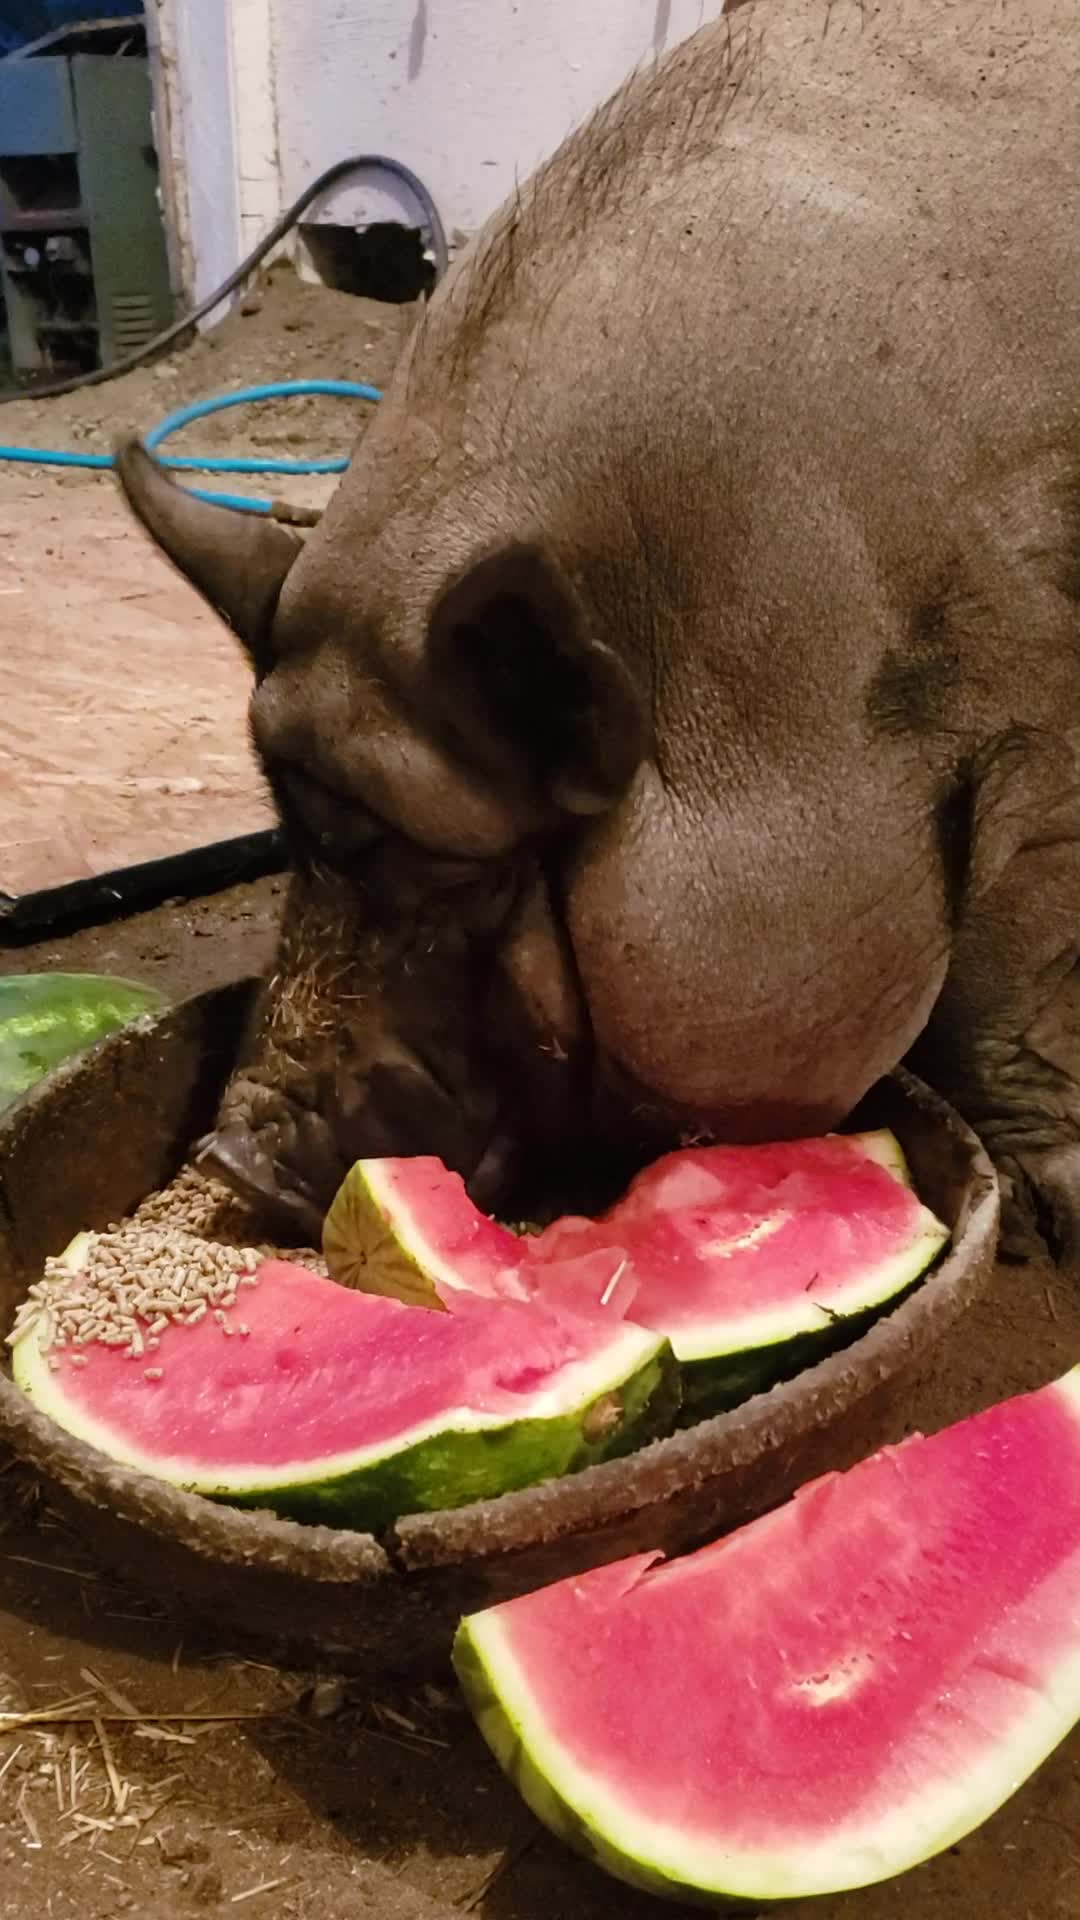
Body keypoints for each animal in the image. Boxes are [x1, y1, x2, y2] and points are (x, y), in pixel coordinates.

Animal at [117, 0, 1080, 1262]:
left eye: (456, 879)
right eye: (289, 835)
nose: (230, 1157)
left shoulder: (1045, 759)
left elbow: (1006, 986)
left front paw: (1042, 1227)